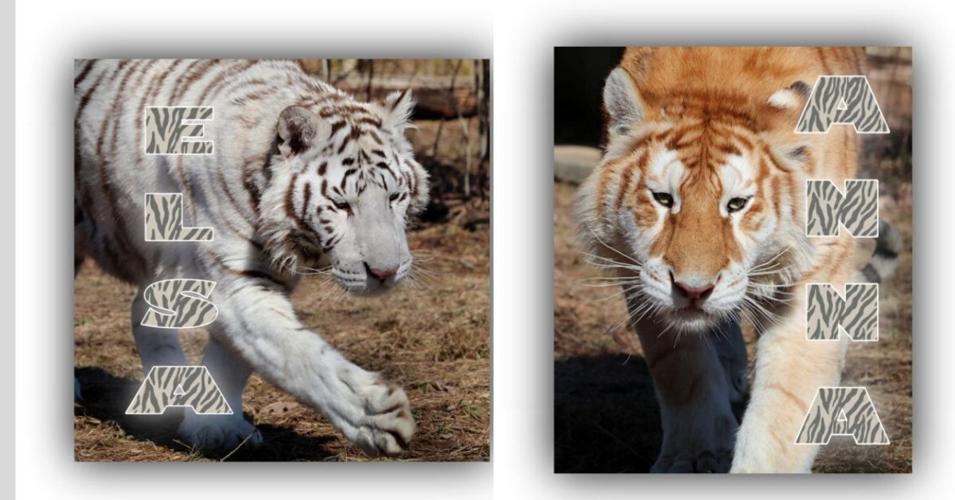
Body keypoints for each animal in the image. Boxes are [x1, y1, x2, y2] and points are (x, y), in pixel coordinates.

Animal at [74, 59, 429, 456]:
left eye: (395, 197)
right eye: (341, 205)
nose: (385, 272)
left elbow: (236, 359)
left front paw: (218, 427)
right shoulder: (233, 283)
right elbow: (294, 352)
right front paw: (375, 415)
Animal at [575, 47, 871, 472]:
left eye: (737, 204)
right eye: (663, 199)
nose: (693, 289)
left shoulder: (818, 279)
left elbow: (782, 408)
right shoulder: (638, 273)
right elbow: (682, 369)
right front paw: (694, 457)